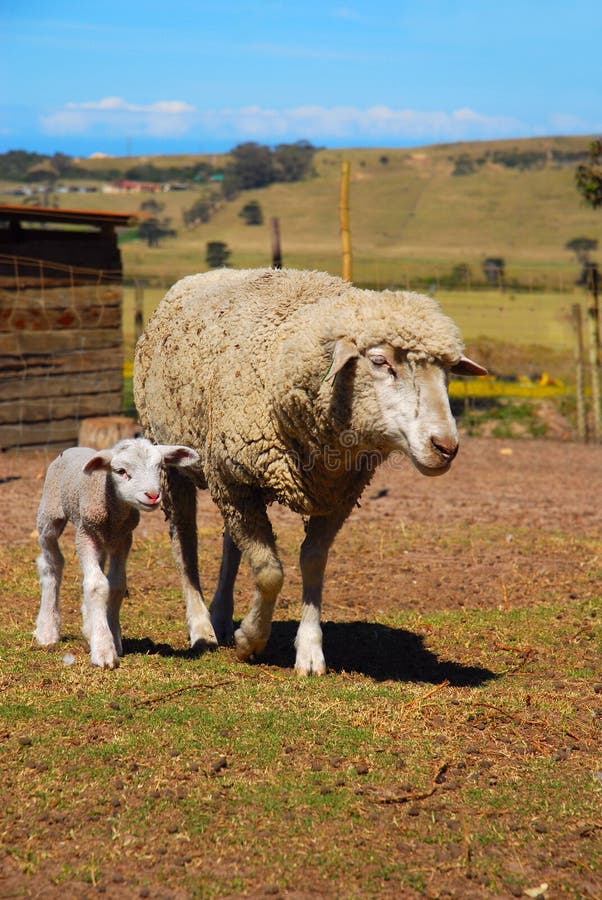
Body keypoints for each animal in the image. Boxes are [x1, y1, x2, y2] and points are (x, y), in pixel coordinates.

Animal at [34, 437, 199, 668]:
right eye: (121, 471)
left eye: (159, 467)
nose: (153, 495)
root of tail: (74, 448)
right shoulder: (85, 534)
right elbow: (96, 586)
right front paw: (104, 650)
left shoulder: (123, 539)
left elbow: (116, 584)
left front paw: (110, 636)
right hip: (50, 513)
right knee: (51, 564)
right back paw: (47, 630)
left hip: (101, 541)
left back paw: (88, 626)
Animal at [133, 267, 486, 675]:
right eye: (380, 362)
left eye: (448, 372)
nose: (446, 447)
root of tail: (205, 275)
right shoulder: (237, 482)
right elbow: (269, 572)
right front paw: (251, 639)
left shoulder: (336, 492)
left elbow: (313, 562)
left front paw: (310, 651)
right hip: (174, 459)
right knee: (184, 544)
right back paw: (202, 627)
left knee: (230, 542)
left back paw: (221, 616)